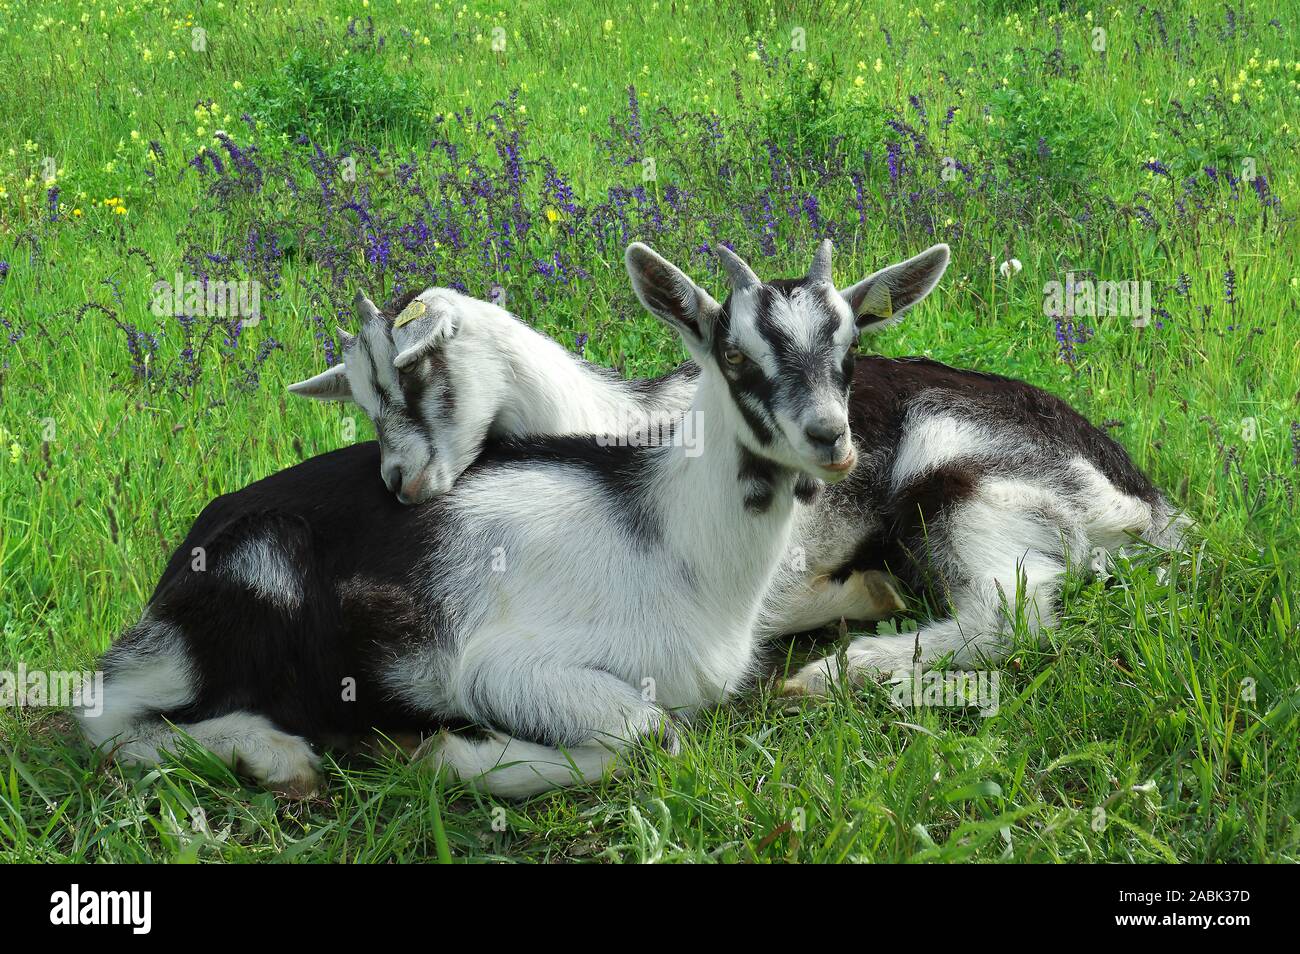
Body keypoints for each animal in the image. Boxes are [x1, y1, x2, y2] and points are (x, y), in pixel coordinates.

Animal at [80, 240, 882, 797]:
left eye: (850, 348)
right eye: (735, 355)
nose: (831, 440)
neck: (670, 536)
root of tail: (183, 556)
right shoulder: (503, 668)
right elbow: (652, 736)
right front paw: (449, 755)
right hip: (244, 593)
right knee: (103, 717)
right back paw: (277, 757)